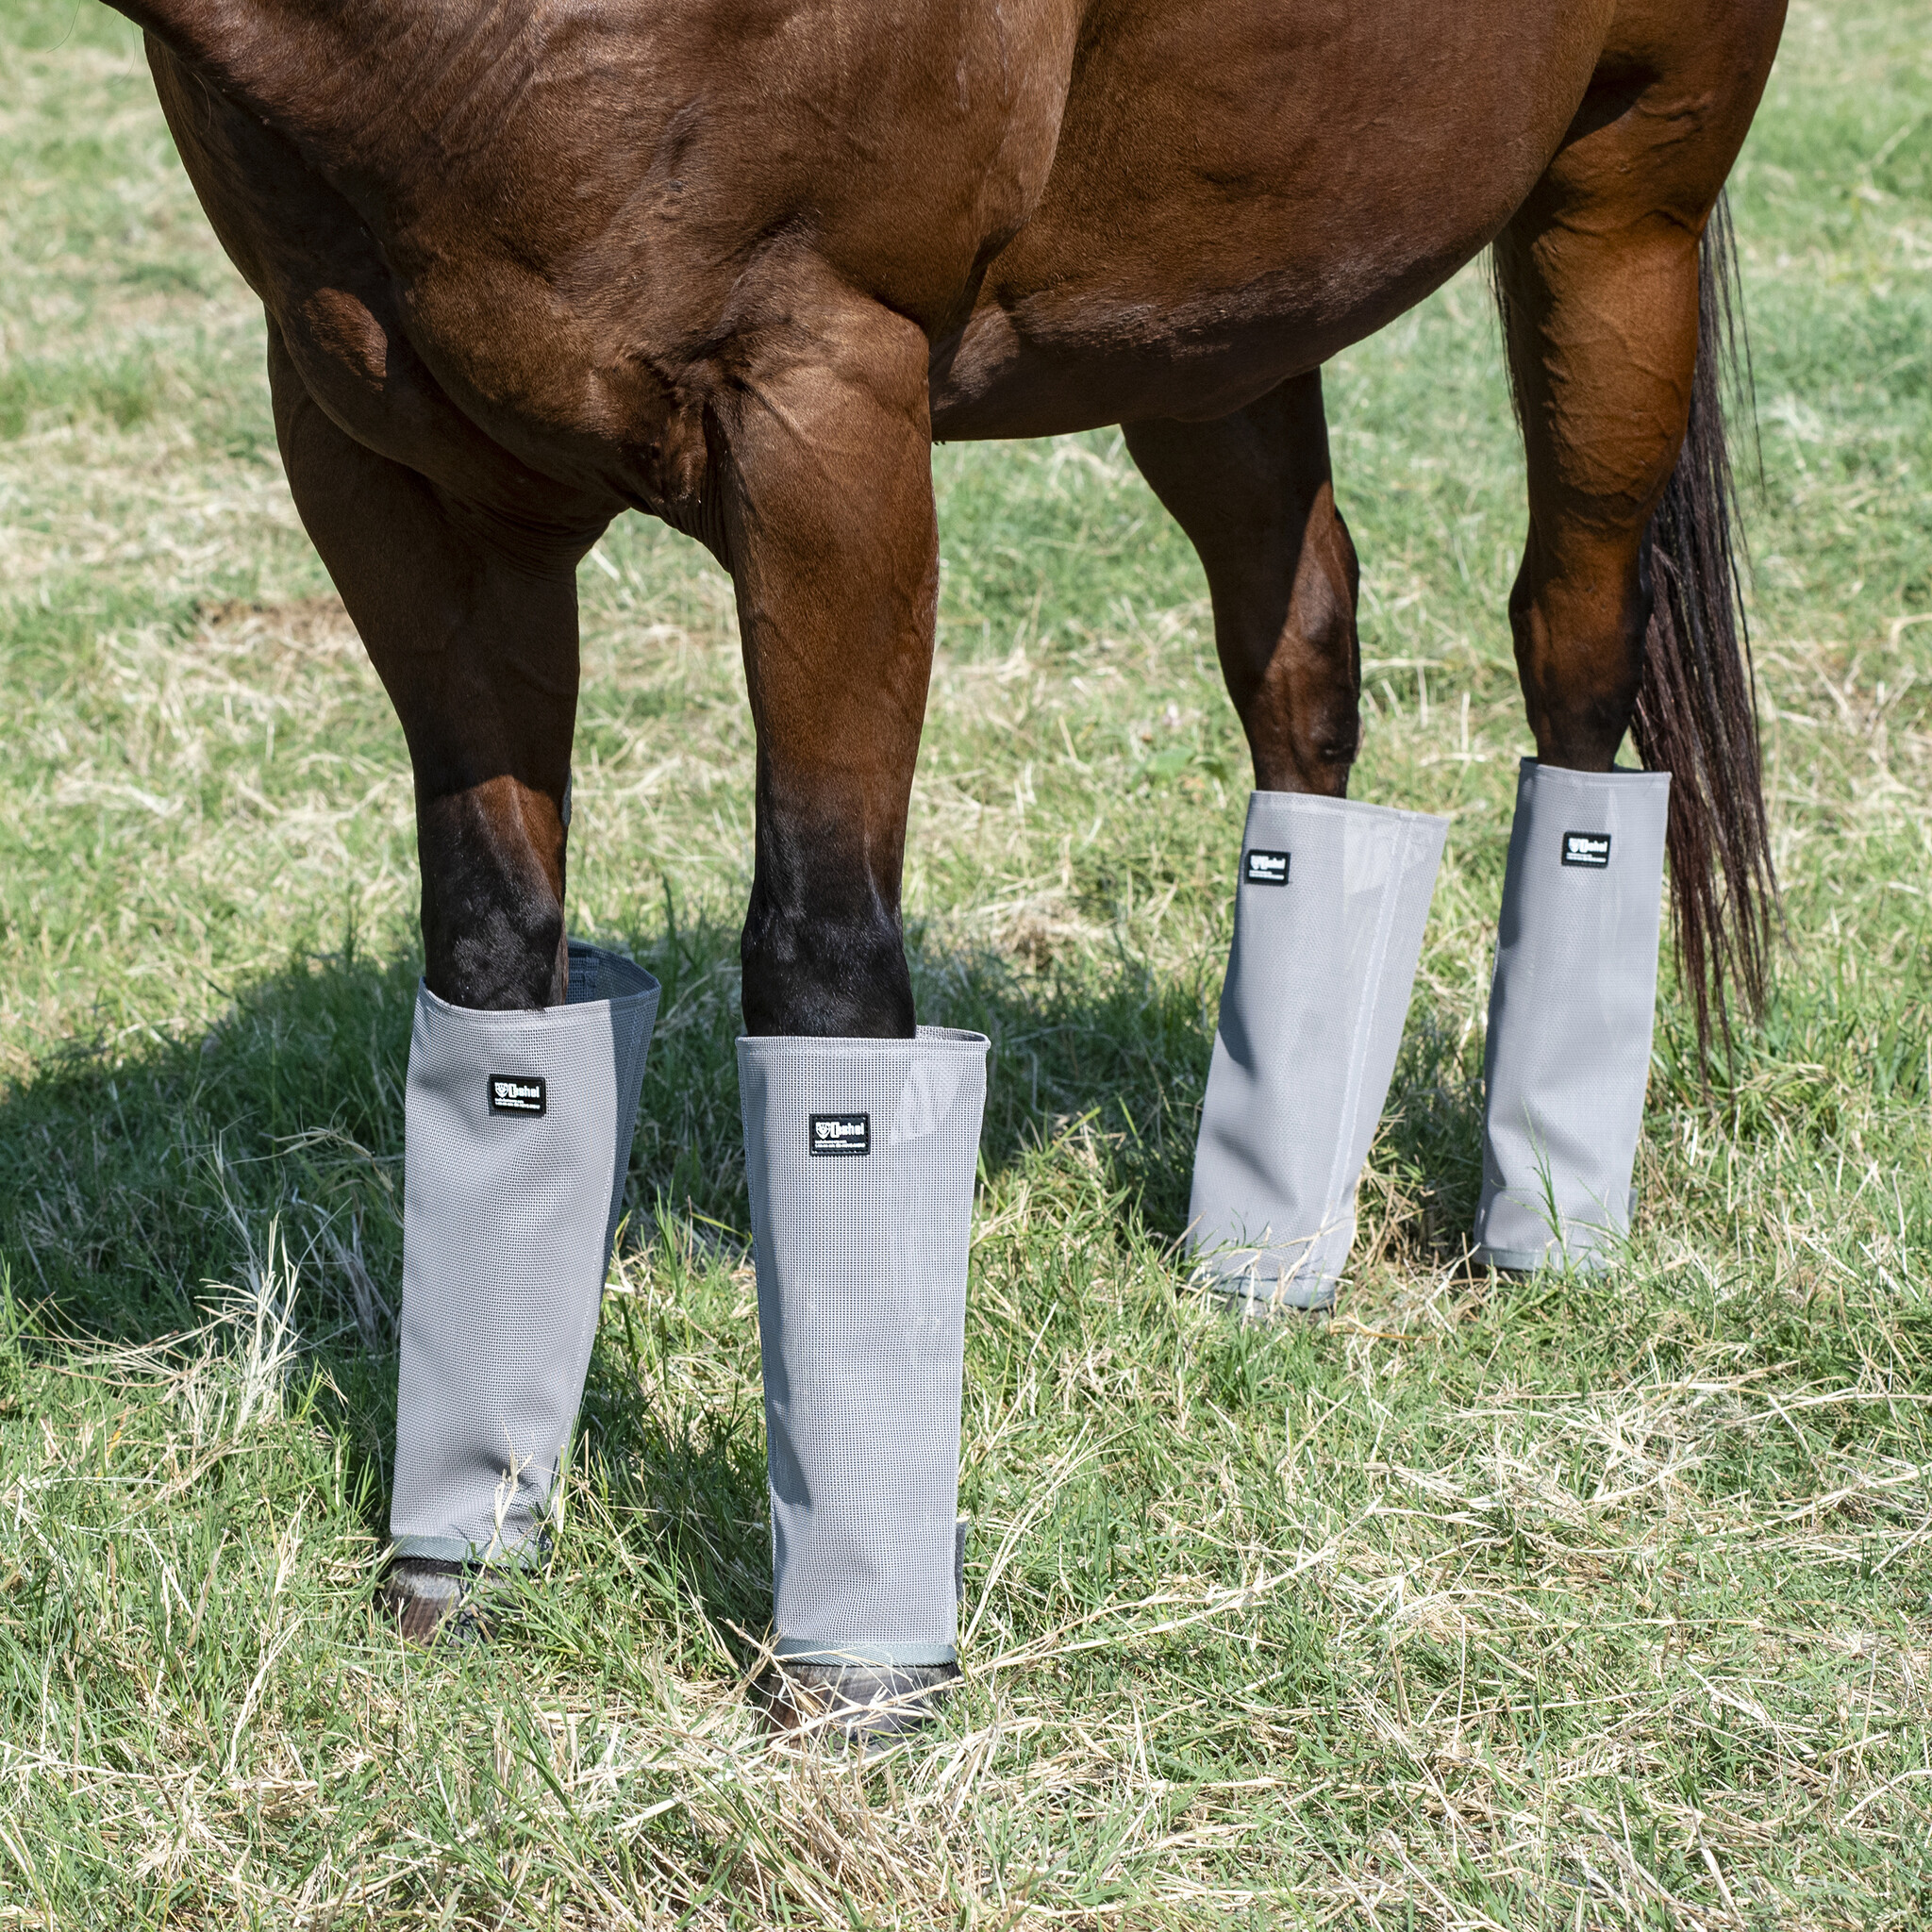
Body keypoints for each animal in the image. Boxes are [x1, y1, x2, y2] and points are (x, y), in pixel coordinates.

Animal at [105, 0, 1786, 1738]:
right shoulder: (396, 470)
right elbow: (497, 957)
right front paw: (465, 1548)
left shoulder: (824, 420)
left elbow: (823, 957)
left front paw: (857, 1660)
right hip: (1222, 318)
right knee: (1303, 682)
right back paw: (1264, 1257)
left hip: (1617, 220)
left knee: (1575, 667)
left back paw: (1545, 1230)